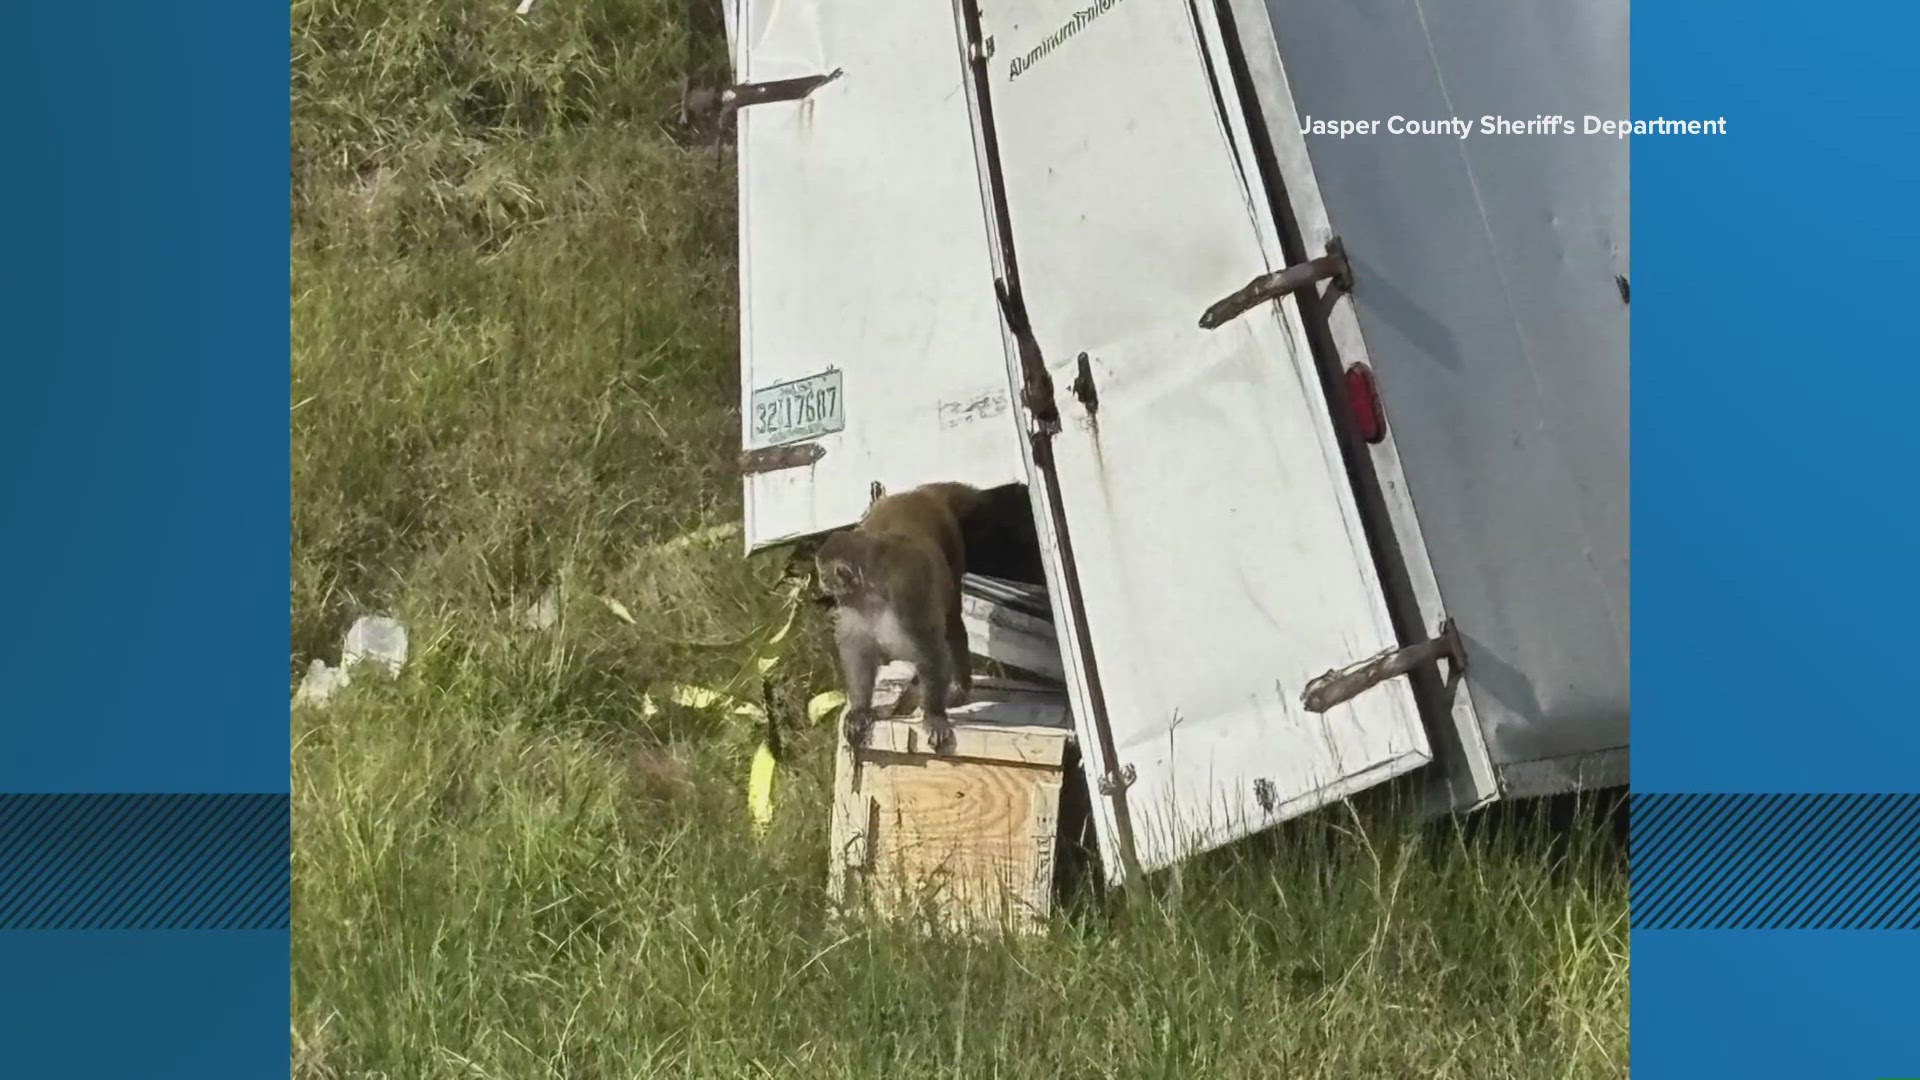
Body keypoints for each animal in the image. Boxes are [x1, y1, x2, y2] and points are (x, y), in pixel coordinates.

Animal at [815, 482, 986, 755]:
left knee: (951, 622)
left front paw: (934, 715)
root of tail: (918, 494)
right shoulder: (853, 605)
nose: (821, 583)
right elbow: (858, 650)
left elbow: (930, 649)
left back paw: (960, 686)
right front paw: (860, 709)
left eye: (823, 574)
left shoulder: (907, 592)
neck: (872, 590)